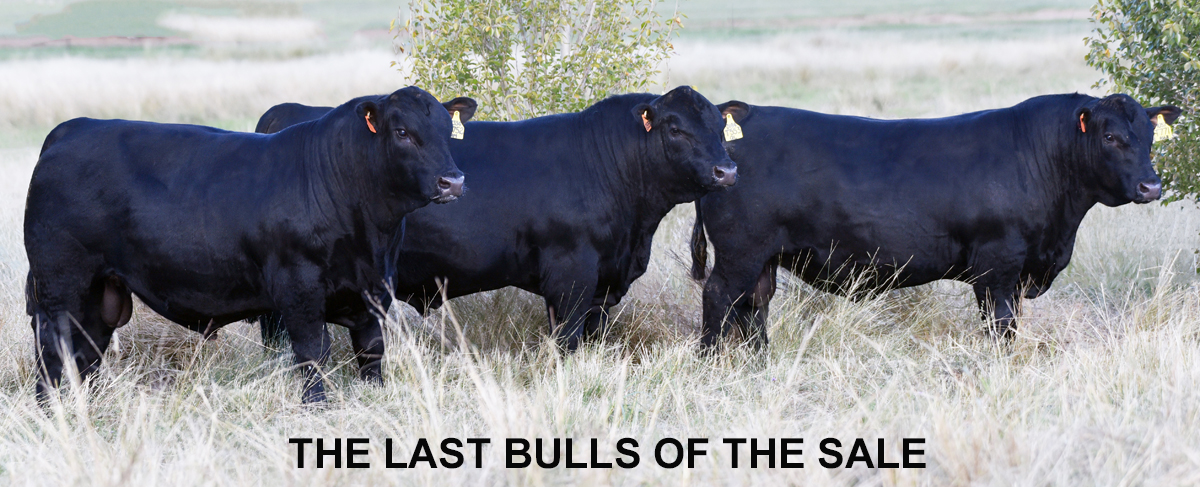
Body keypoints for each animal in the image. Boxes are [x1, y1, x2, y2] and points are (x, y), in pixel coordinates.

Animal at [24, 86, 476, 403]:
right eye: (402, 133)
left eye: (446, 132)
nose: (453, 181)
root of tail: (73, 128)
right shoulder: (299, 286)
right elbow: (312, 351)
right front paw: (317, 406)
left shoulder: (374, 288)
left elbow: (371, 350)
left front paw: (374, 396)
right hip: (61, 285)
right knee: (53, 349)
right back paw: (52, 411)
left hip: (103, 292)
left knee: (87, 350)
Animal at [254, 86, 738, 351]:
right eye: (675, 129)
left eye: (720, 127)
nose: (726, 171)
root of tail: (285, 113)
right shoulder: (571, 273)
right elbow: (567, 339)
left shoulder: (604, 282)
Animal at [690, 93, 1181, 348]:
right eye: (1110, 136)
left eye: (1151, 135)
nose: (1150, 186)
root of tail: (740, 113)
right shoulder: (998, 263)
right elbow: (1001, 325)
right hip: (740, 249)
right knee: (720, 297)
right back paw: (711, 357)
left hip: (763, 255)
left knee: (754, 303)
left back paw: (759, 357)